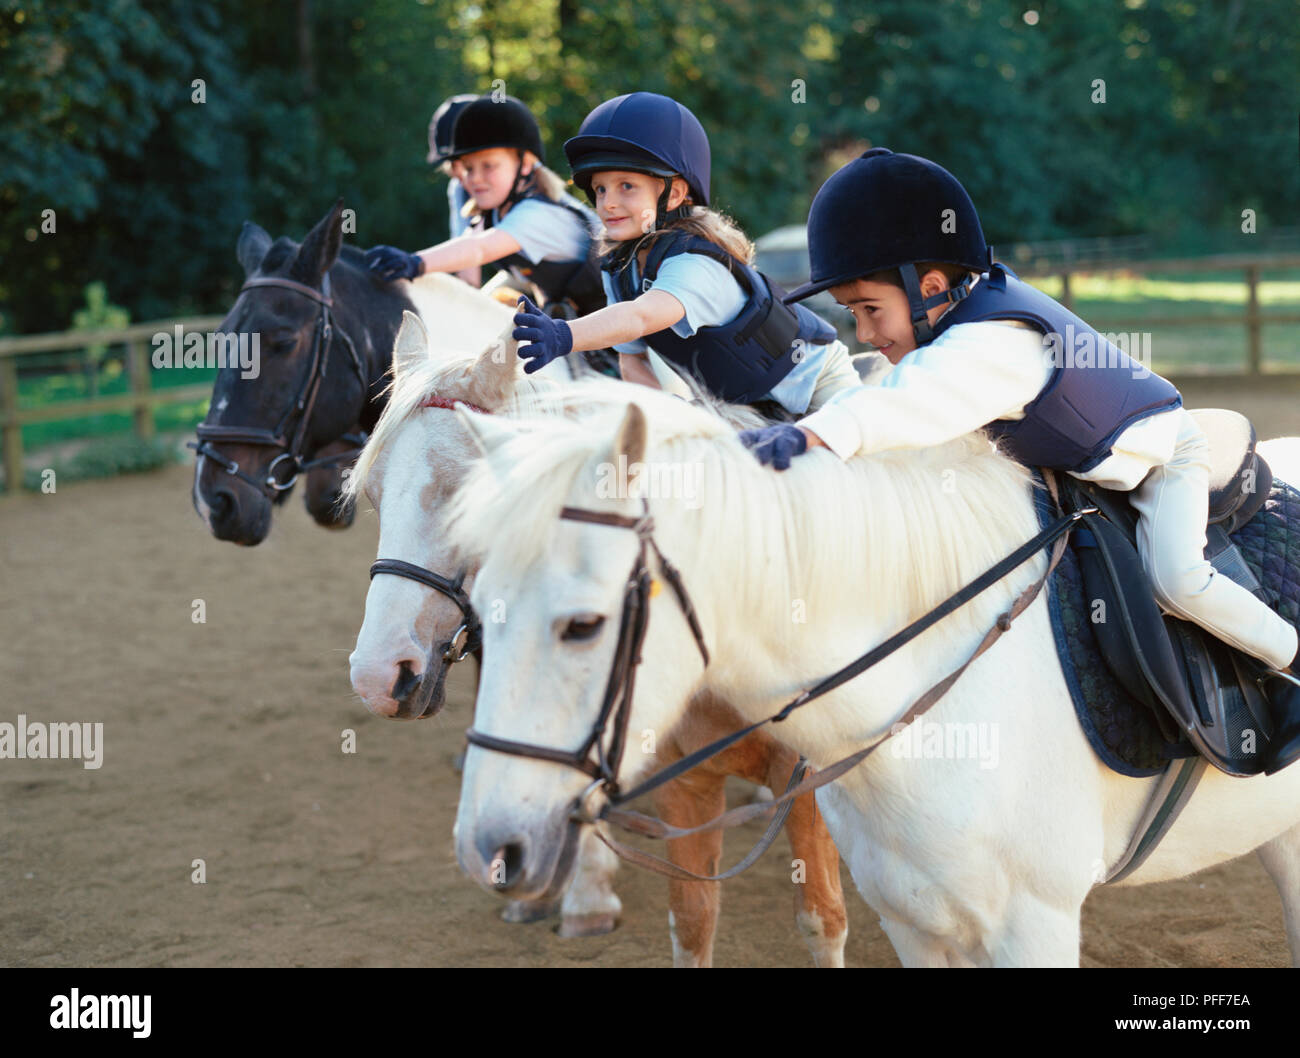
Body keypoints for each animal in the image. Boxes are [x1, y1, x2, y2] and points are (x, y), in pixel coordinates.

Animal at [343, 313, 847, 965]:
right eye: (373, 494)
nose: (377, 675)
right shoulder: (678, 779)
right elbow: (692, 920)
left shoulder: (809, 782)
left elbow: (822, 919)